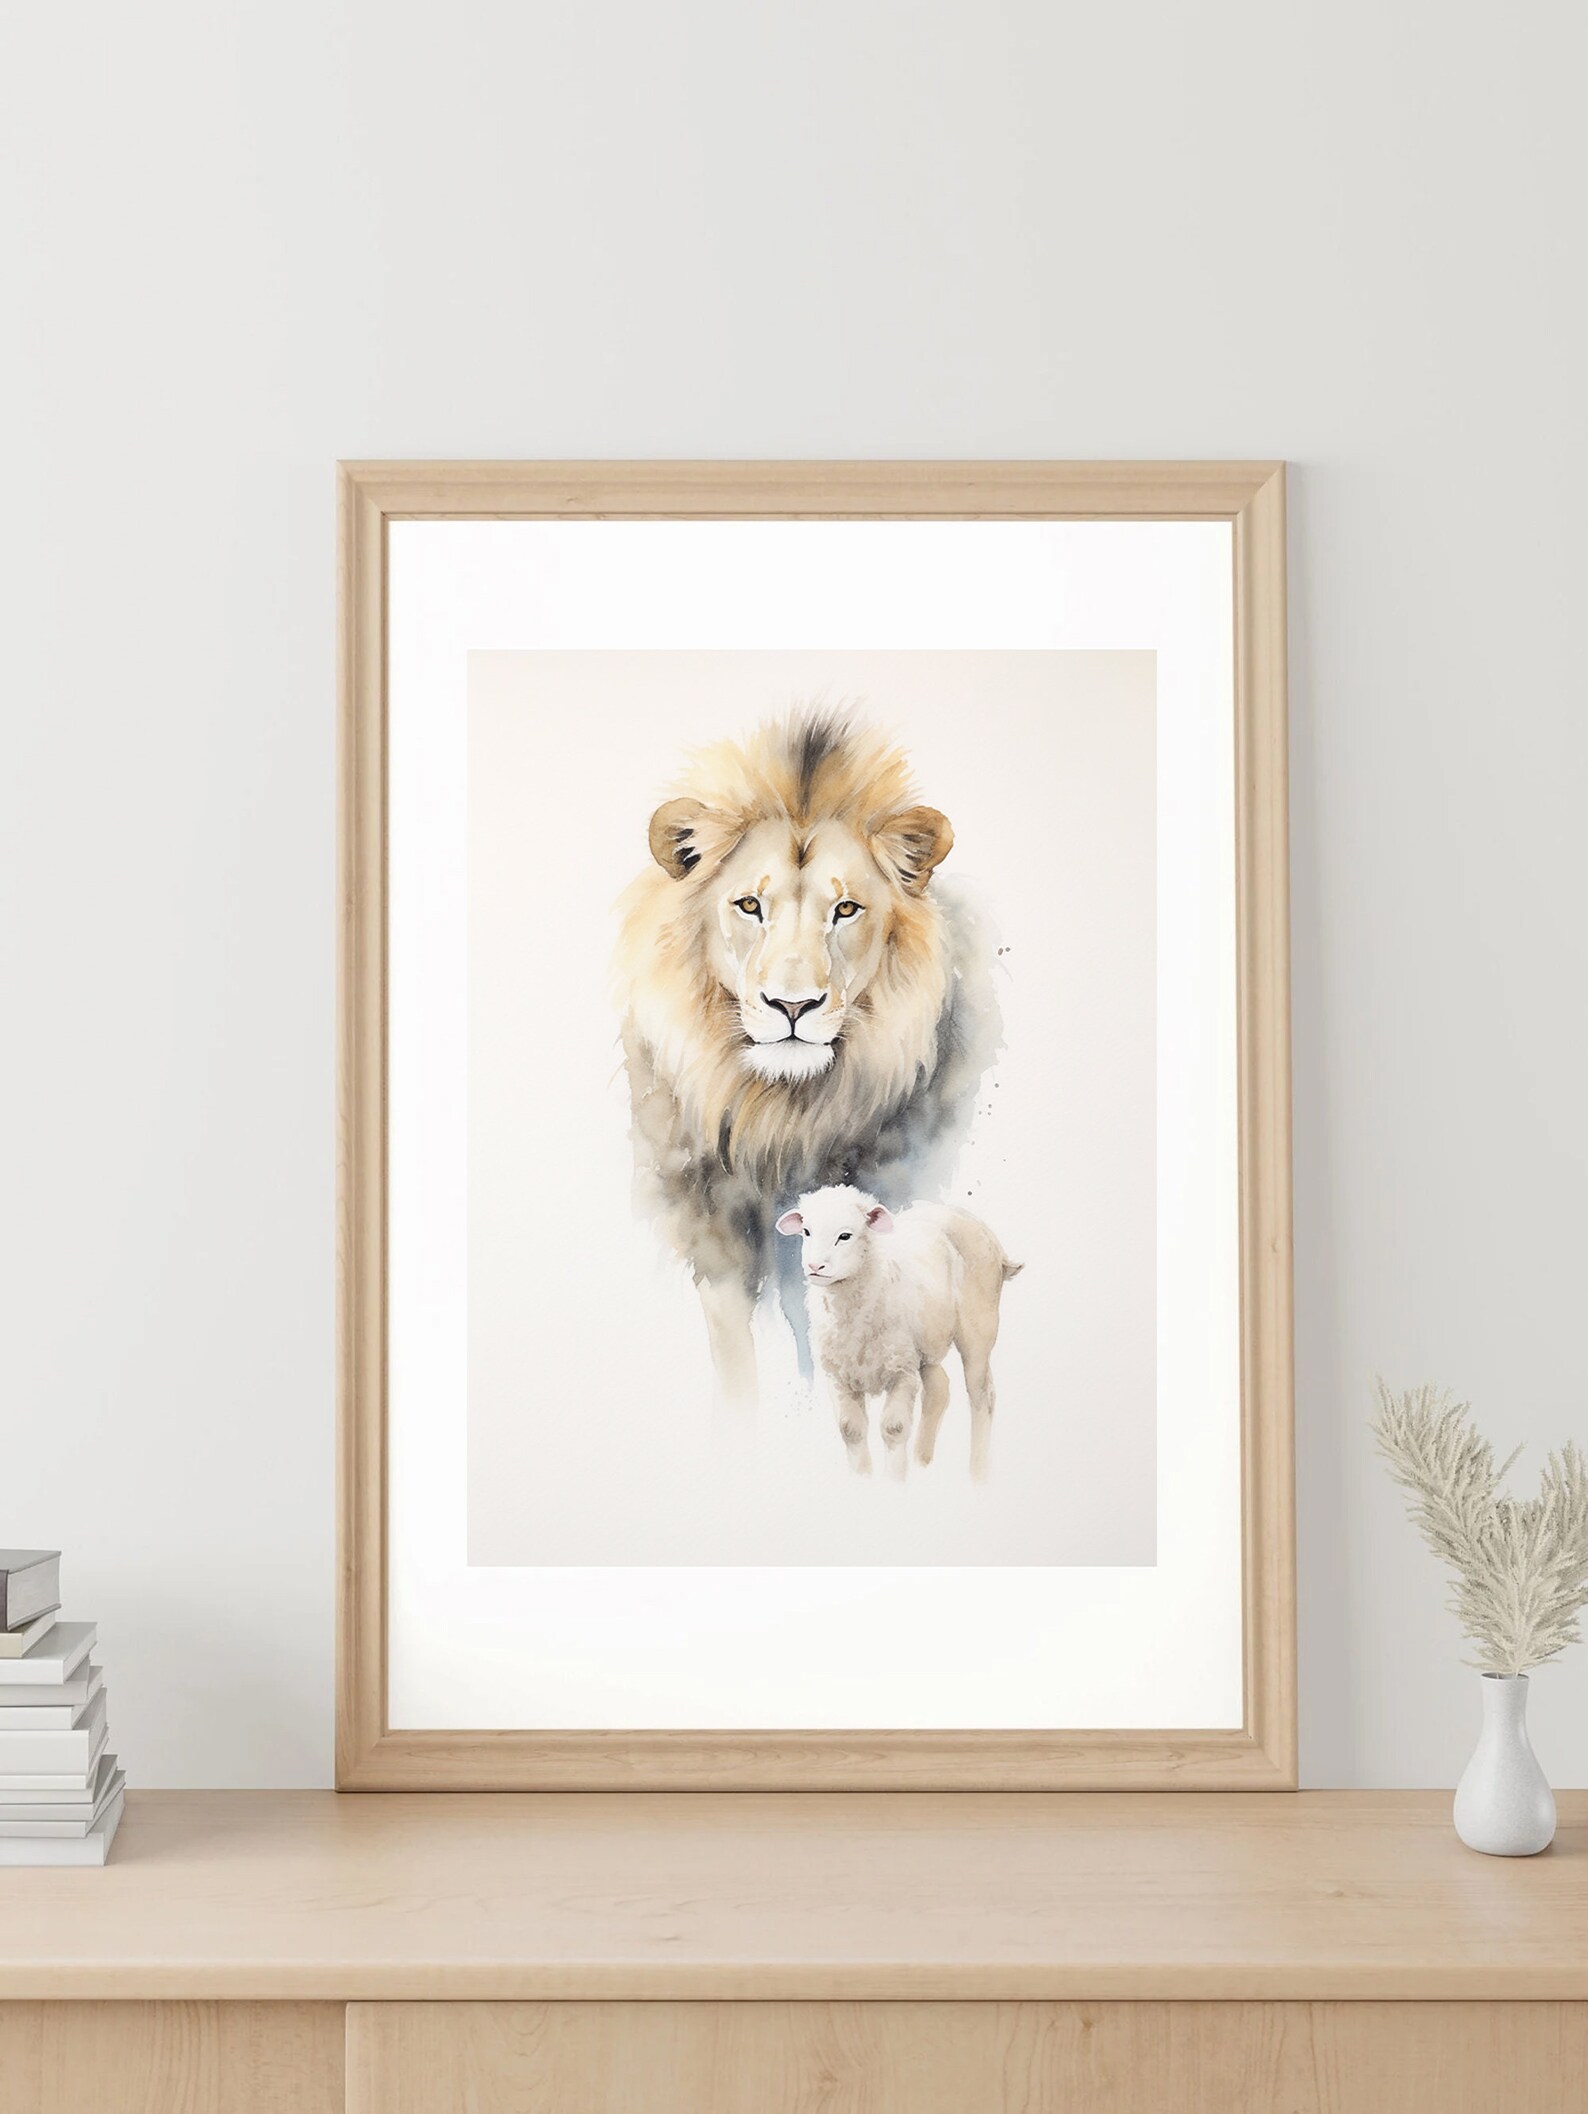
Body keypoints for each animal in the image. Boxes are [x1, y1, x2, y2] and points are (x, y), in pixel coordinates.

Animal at [613, 708, 1000, 1409]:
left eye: (845, 909)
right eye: (749, 905)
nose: (793, 1005)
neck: (782, 1119)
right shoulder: (713, 1244)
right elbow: (740, 1364)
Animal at [775, 1185, 1022, 1481]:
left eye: (845, 1235)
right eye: (806, 1231)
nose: (815, 1267)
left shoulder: (901, 1372)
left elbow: (894, 1428)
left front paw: (895, 1480)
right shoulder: (837, 1375)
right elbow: (850, 1429)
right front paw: (862, 1478)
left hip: (979, 1327)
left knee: (982, 1395)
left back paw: (978, 1471)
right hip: (926, 1345)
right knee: (939, 1389)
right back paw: (922, 1461)